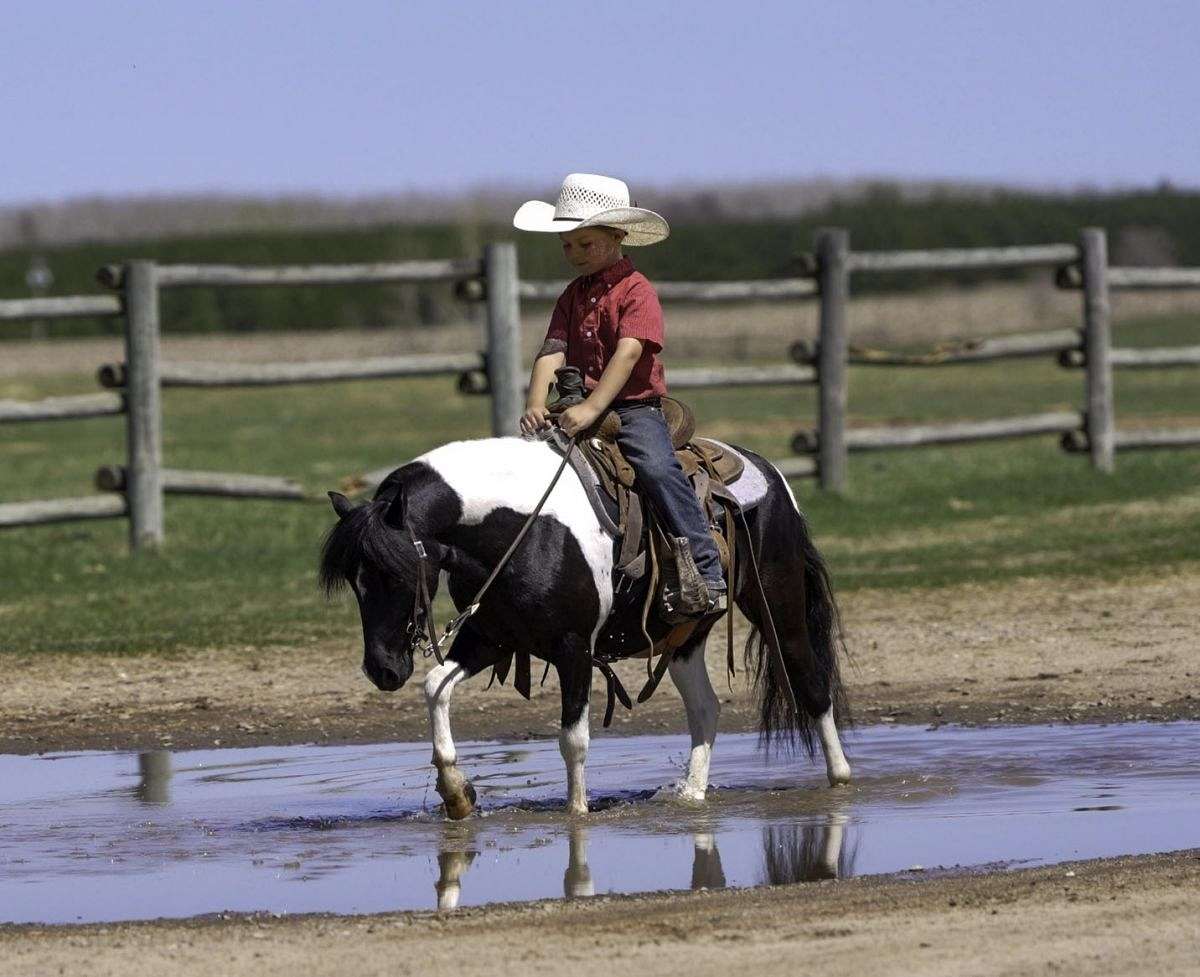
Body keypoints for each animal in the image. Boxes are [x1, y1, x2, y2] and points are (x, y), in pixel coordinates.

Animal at [319, 434, 851, 819]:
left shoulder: (573, 648)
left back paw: (840, 779)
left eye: (396, 572)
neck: (522, 527)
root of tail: (770, 473)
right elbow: (435, 686)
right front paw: (456, 793)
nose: (382, 670)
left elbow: (572, 738)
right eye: (355, 582)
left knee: (810, 683)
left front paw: (577, 813)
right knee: (706, 708)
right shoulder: (491, 639)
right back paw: (690, 794)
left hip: (778, 604)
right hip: (686, 635)